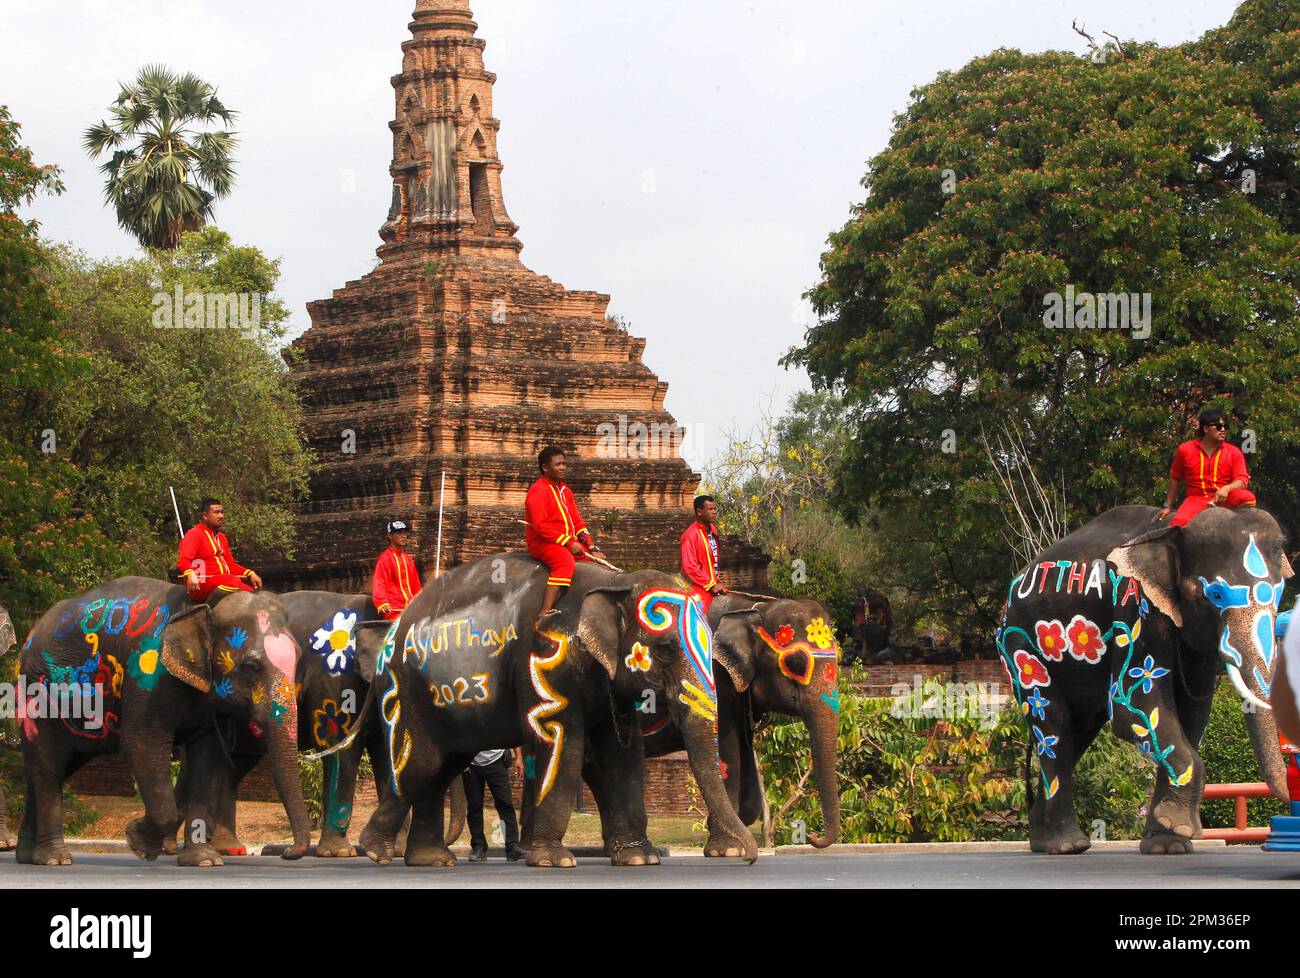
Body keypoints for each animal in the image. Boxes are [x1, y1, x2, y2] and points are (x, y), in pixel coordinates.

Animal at [14, 577, 311, 866]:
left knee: (46, 769)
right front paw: (138, 844)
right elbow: (140, 745)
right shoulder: (148, 680)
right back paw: (55, 859)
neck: (203, 607)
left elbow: (209, 758)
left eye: (299, 657)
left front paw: (204, 861)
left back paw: (28, 856)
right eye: (252, 665)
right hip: (36, 697)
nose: (286, 853)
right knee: (48, 767)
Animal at [348, 554, 759, 868]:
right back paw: (375, 851)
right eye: (666, 648)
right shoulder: (544, 664)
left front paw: (639, 859)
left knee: (443, 767)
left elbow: (622, 756)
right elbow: (563, 744)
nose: (750, 858)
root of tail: (388, 637)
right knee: (422, 763)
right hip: (407, 693)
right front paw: (553, 860)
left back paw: (429, 860)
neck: (613, 582)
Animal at [581, 595, 842, 856]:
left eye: (838, 661)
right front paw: (728, 850)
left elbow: (748, 782)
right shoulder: (718, 684)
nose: (811, 836)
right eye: (796, 663)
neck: (752, 608)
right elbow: (727, 756)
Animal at [996, 505, 1292, 855]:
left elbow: (1192, 716)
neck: (1172, 529)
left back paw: (1043, 841)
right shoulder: (1135, 605)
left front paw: (1170, 843)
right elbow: (1133, 707)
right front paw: (1180, 827)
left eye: (1280, 592)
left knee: (1077, 734)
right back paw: (1067, 845)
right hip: (1019, 647)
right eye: (1214, 594)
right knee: (1054, 725)